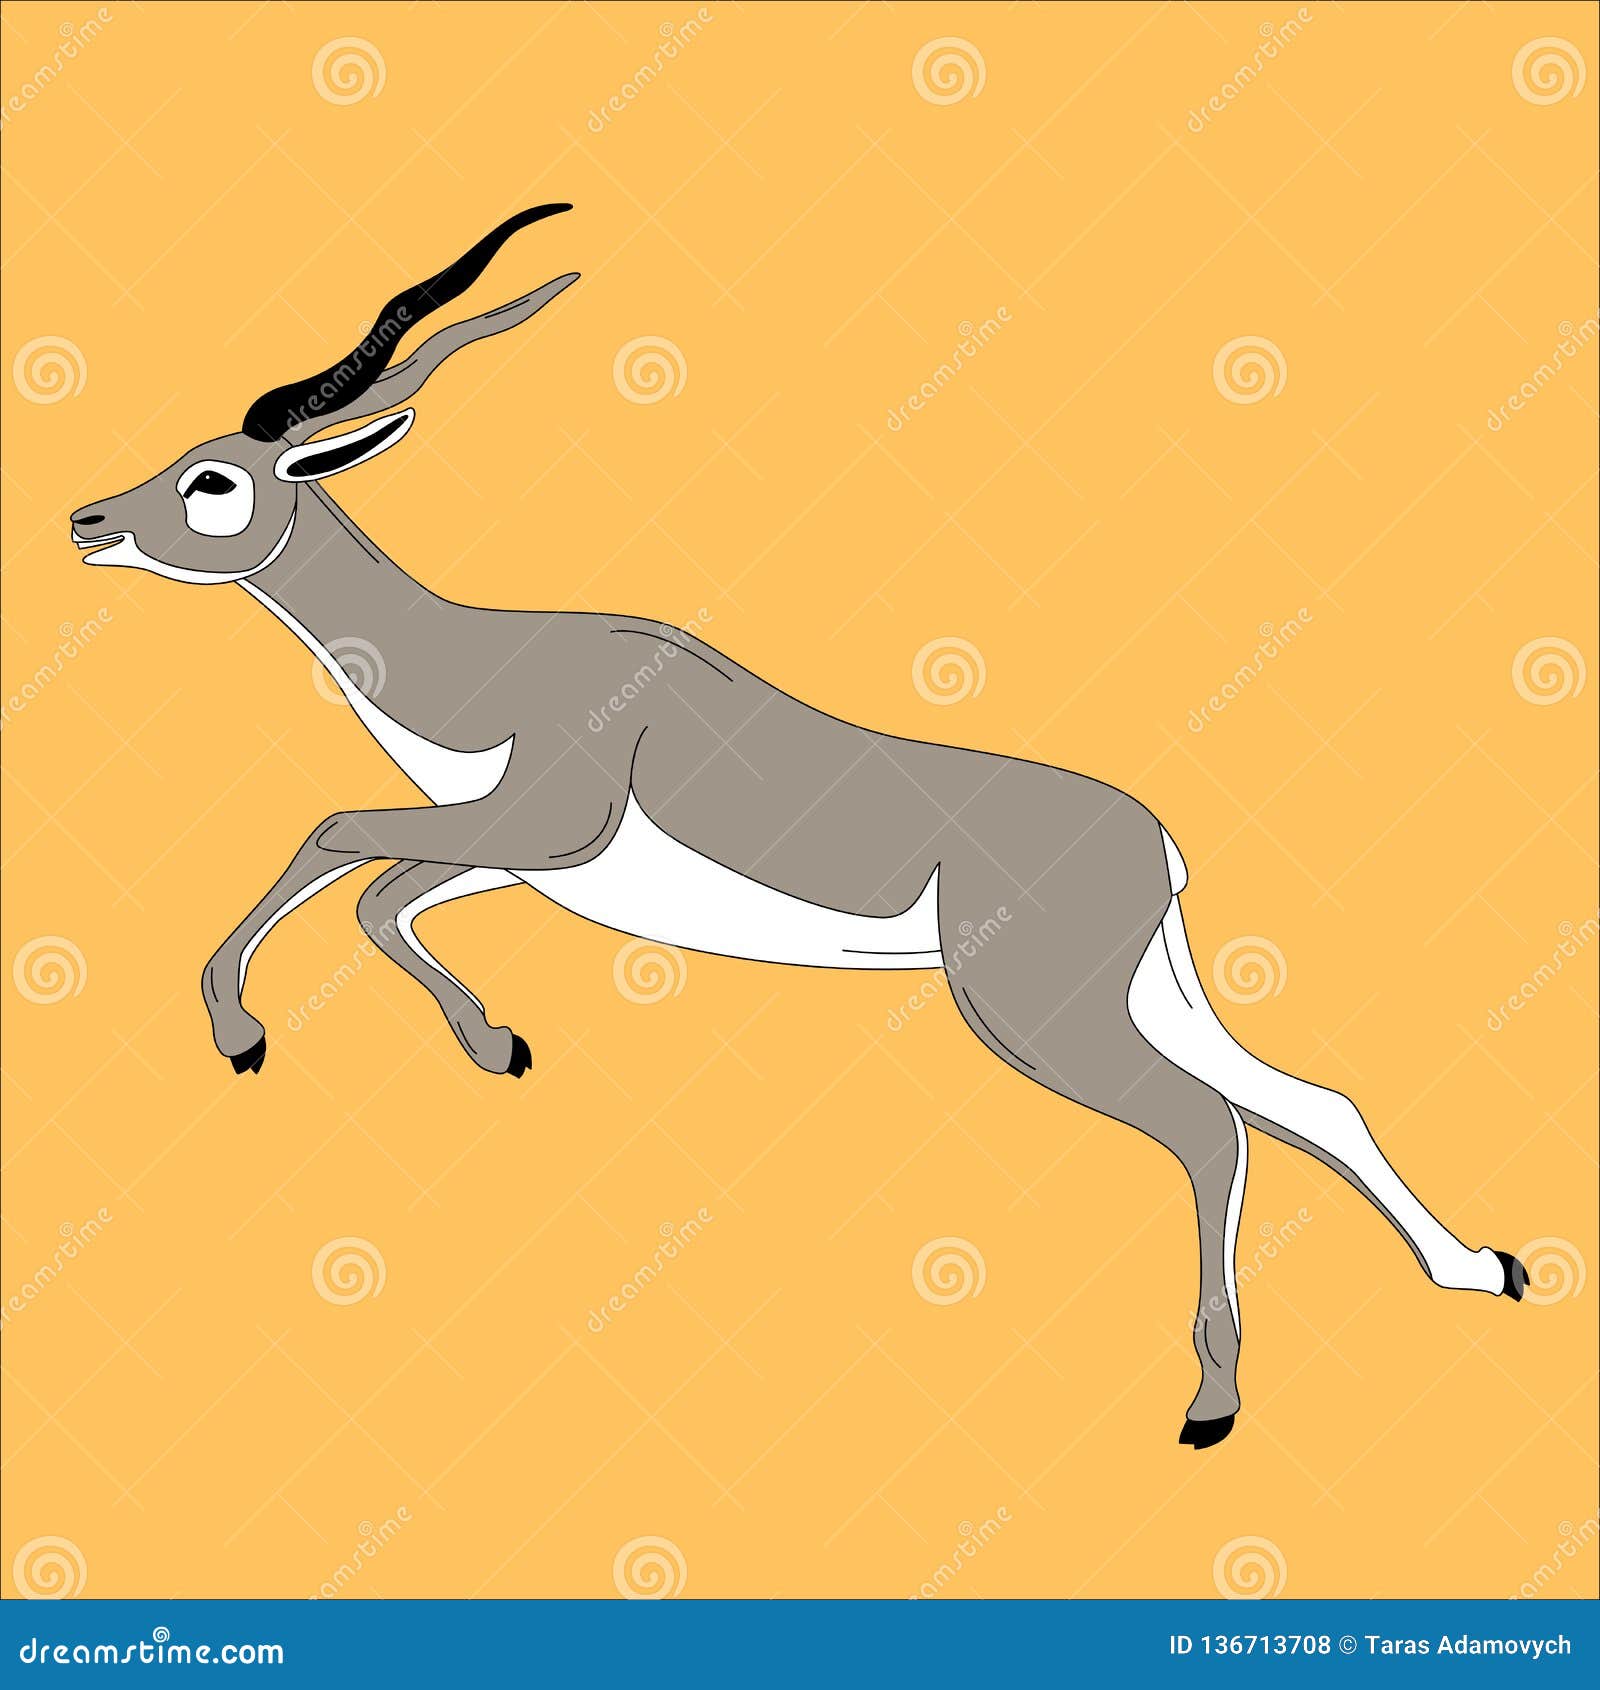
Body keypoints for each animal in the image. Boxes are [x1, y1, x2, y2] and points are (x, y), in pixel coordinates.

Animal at [71, 206, 1529, 1448]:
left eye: (214, 481)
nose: (86, 518)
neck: (481, 664)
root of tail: (1155, 842)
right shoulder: (528, 855)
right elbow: (383, 894)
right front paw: (497, 1045)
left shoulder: (546, 818)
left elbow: (332, 833)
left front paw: (239, 1029)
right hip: (1141, 991)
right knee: (1308, 1101)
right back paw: (1479, 1269)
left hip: (1033, 1012)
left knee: (1211, 1127)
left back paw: (1212, 1402)